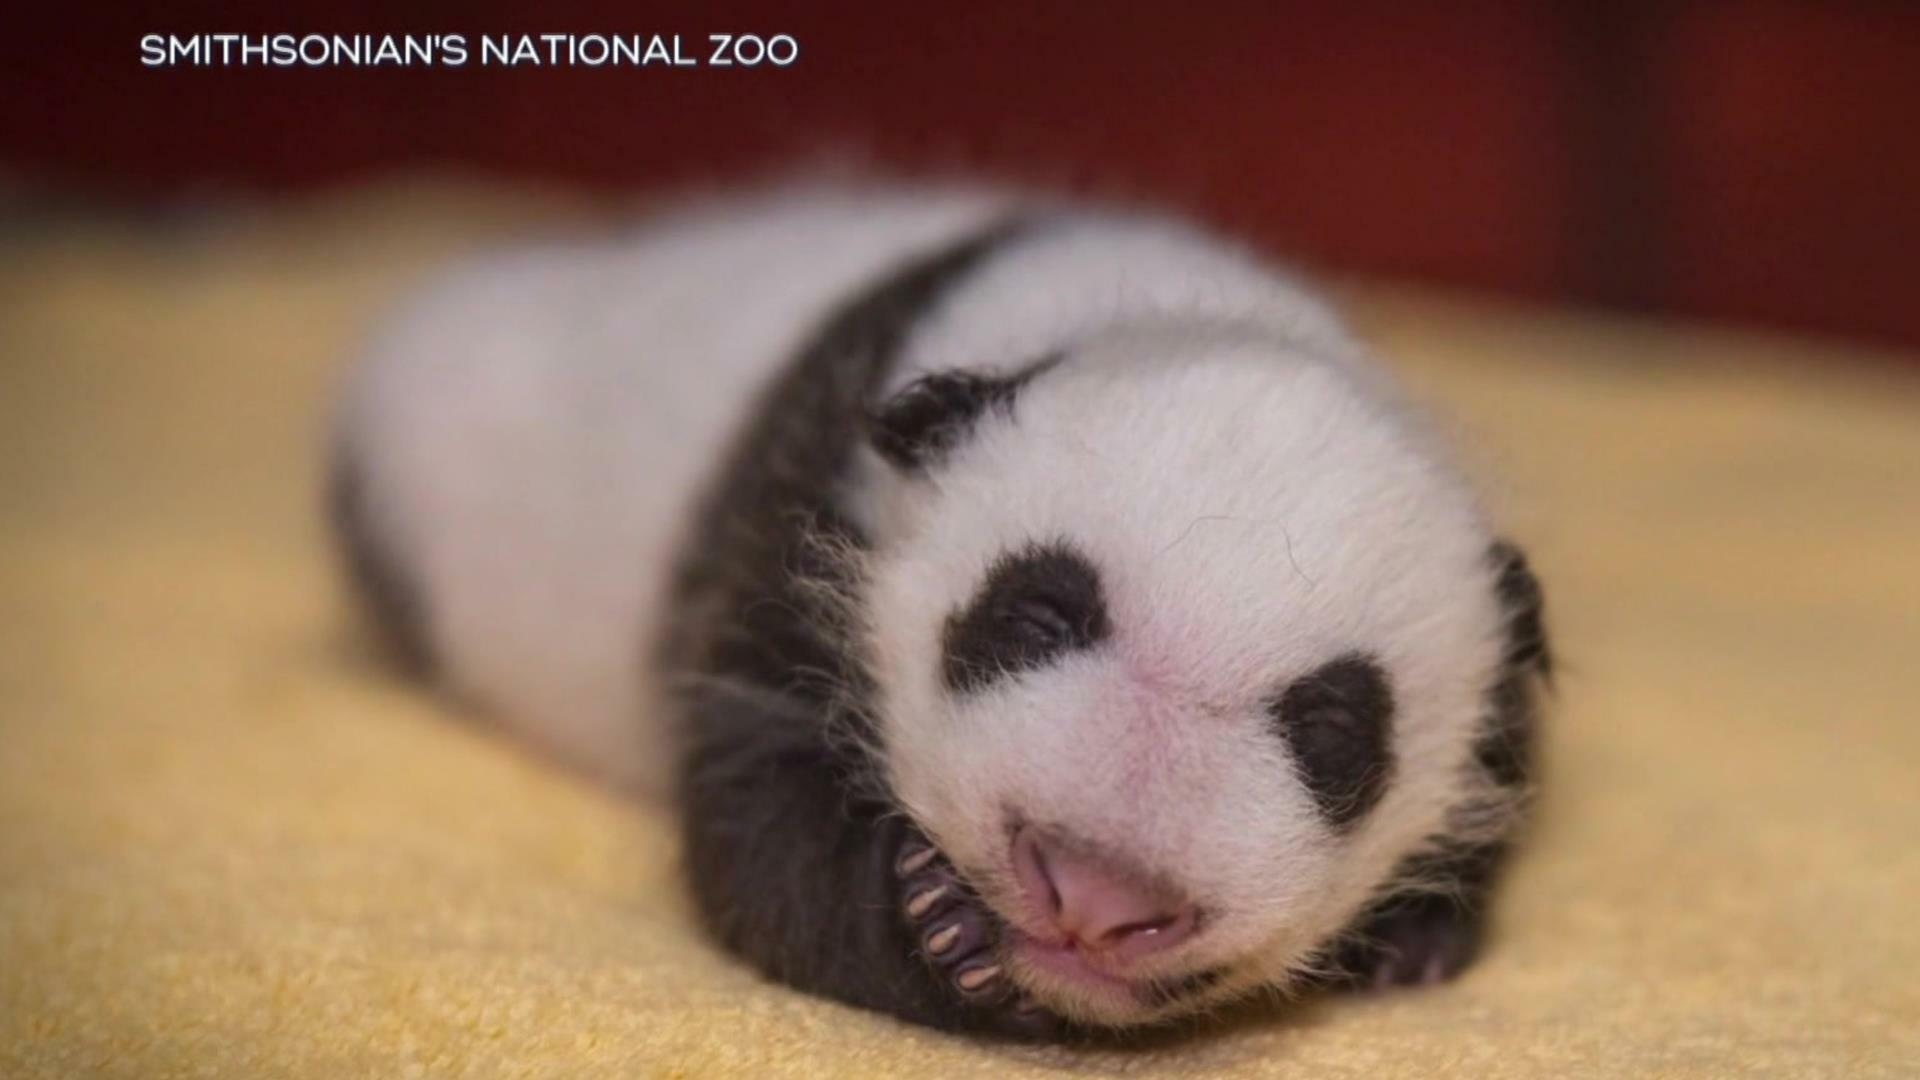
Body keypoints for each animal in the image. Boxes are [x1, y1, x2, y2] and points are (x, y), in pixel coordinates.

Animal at [329, 182, 1550, 1039]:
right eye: (1034, 618)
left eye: (1333, 731)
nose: (1095, 894)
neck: (1171, 306)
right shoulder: (810, 523)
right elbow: (749, 814)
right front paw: (938, 927)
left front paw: (1412, 936)